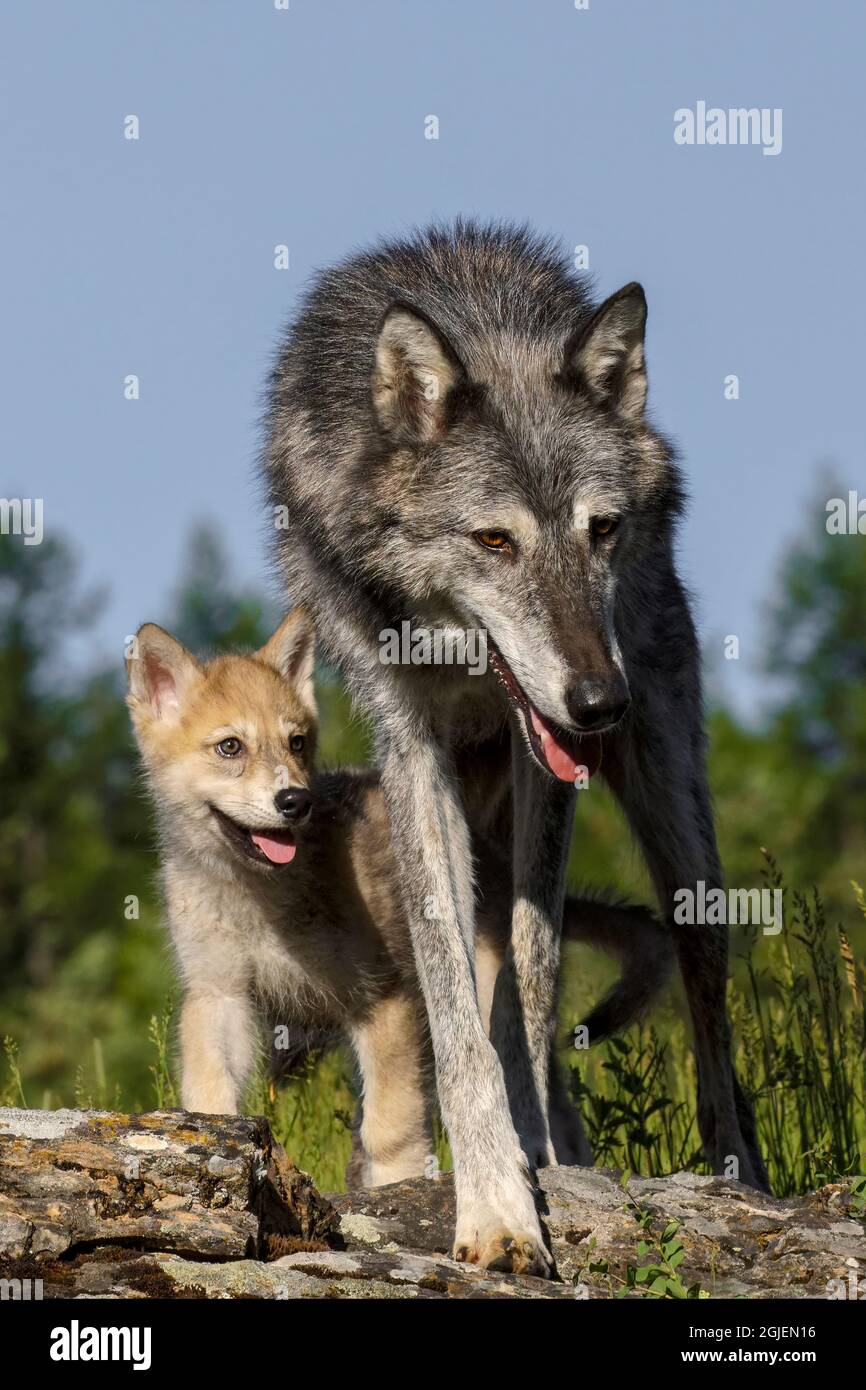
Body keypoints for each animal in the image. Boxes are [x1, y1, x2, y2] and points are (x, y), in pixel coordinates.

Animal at [126, 608, 671, 1189]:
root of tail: (500, 865)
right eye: (230, 747)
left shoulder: (383, 1002)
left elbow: (390, 1130)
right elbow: (210, 1099)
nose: (295, 800)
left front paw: (397, 1189)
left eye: (296, 744)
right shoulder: (218, 995)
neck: (257, 900)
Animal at [263, 221, 769, 1273]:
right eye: (495, 541)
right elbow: (457, 1004)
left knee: (702, 977)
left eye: (602, 530)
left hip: (678, 817)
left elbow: (529, 983)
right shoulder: (410, 750)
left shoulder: (555, 771)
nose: (599, 703)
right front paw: (496, 1202)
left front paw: (534, 1161)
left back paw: (736, 1171)